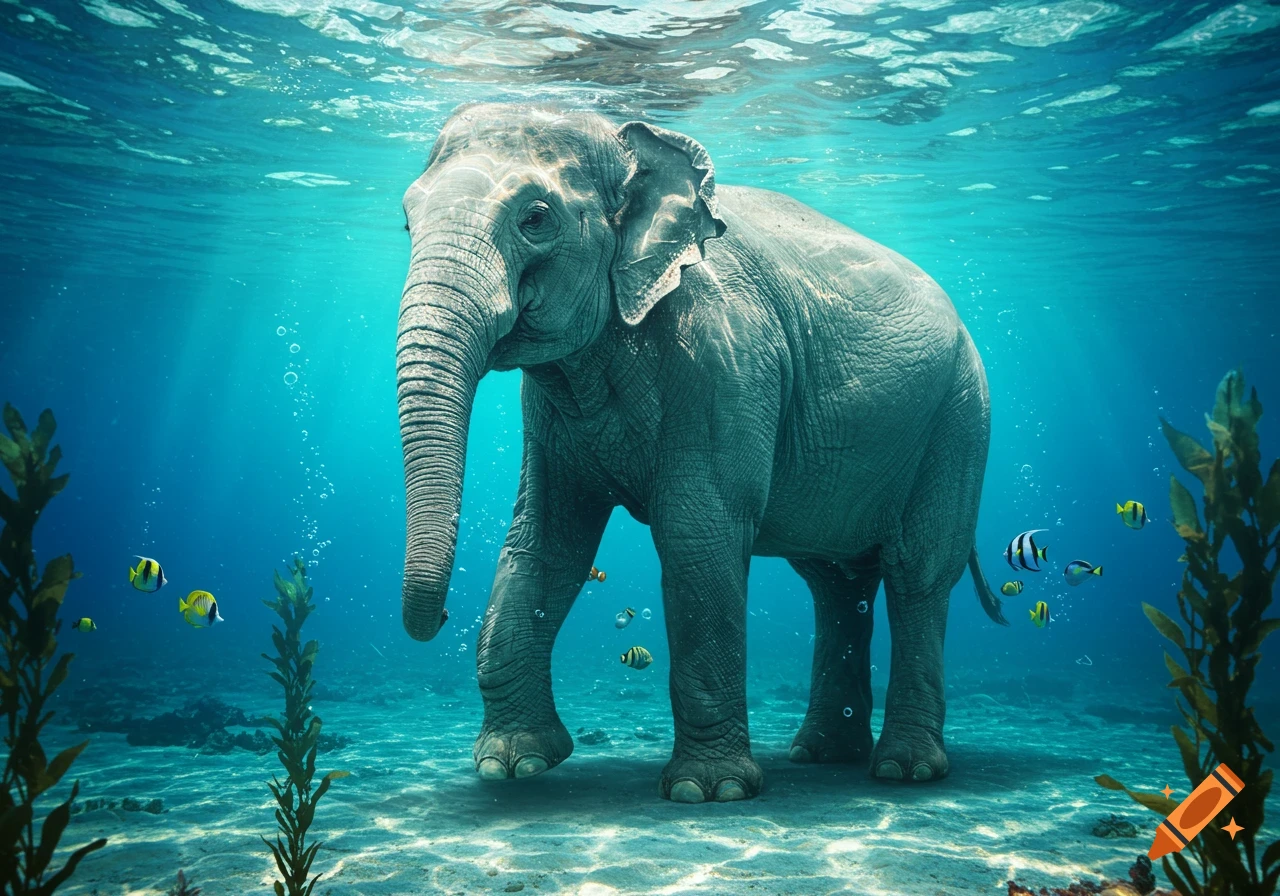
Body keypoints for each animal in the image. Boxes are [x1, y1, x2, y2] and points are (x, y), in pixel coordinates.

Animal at [395, 102, 1010, 804]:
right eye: (406, 219)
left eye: (536, 218)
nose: (443, 612)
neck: (629, 143)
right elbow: (543, 542)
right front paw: (515, 765)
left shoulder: (723, 363)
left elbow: (698, 535)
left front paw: (707, 792)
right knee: (835, 584)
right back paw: (821, 757)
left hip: (960, 418)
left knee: (918, 573)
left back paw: (904, 772)